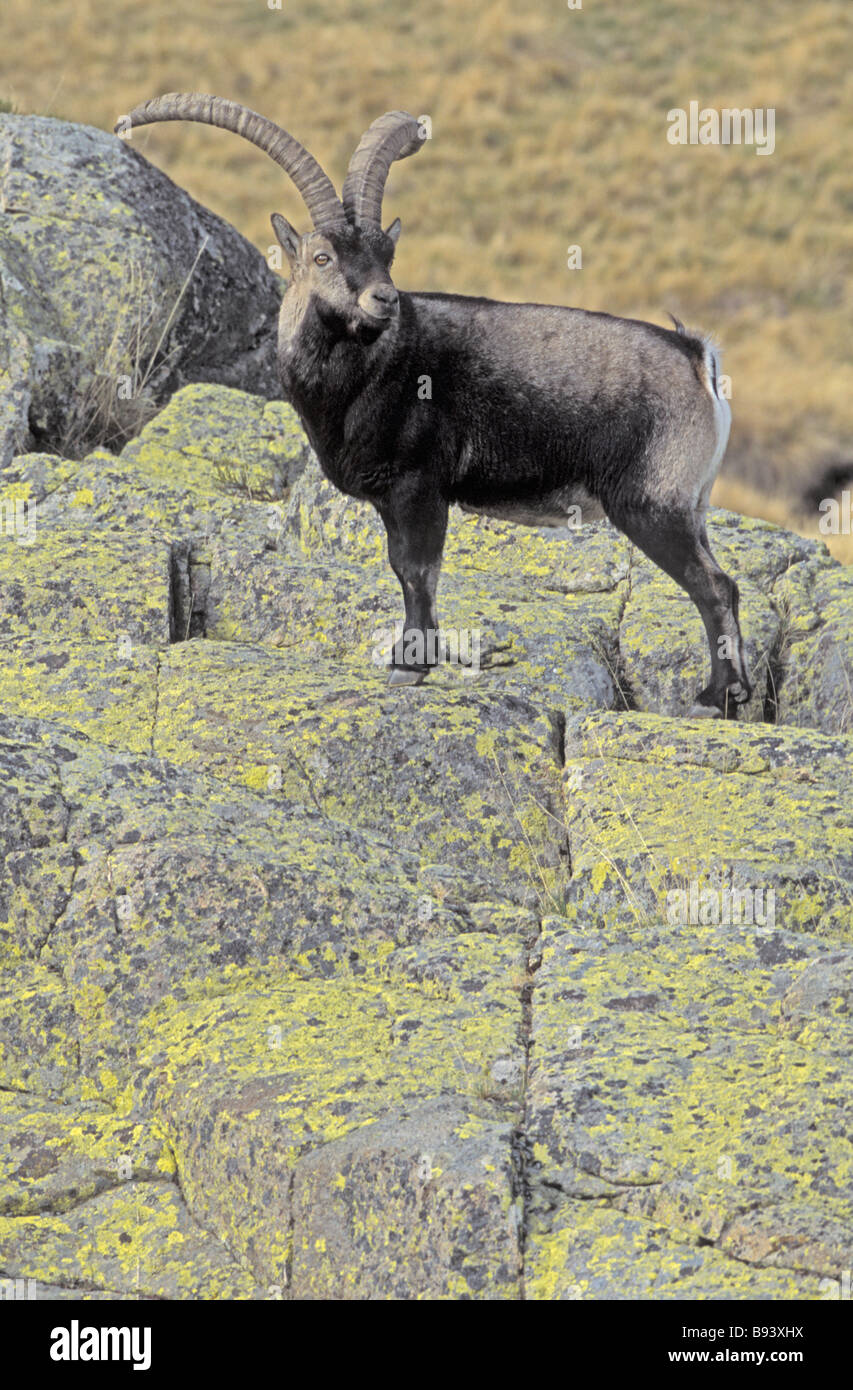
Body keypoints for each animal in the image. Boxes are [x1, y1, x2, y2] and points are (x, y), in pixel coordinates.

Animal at [118, 95, 751, 718]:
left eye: (388, 253)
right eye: (322, 257)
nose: (384, 298)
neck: (369, 371)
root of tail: (698, 357)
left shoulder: (419, 486)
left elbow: (417, 571)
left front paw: (410, 666)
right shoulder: (394, 497)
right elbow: (405, 568)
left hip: (650, 502)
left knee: (713, 586)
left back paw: (713, 698)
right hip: (690, 506)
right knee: (726, 582)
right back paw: (733, 694)